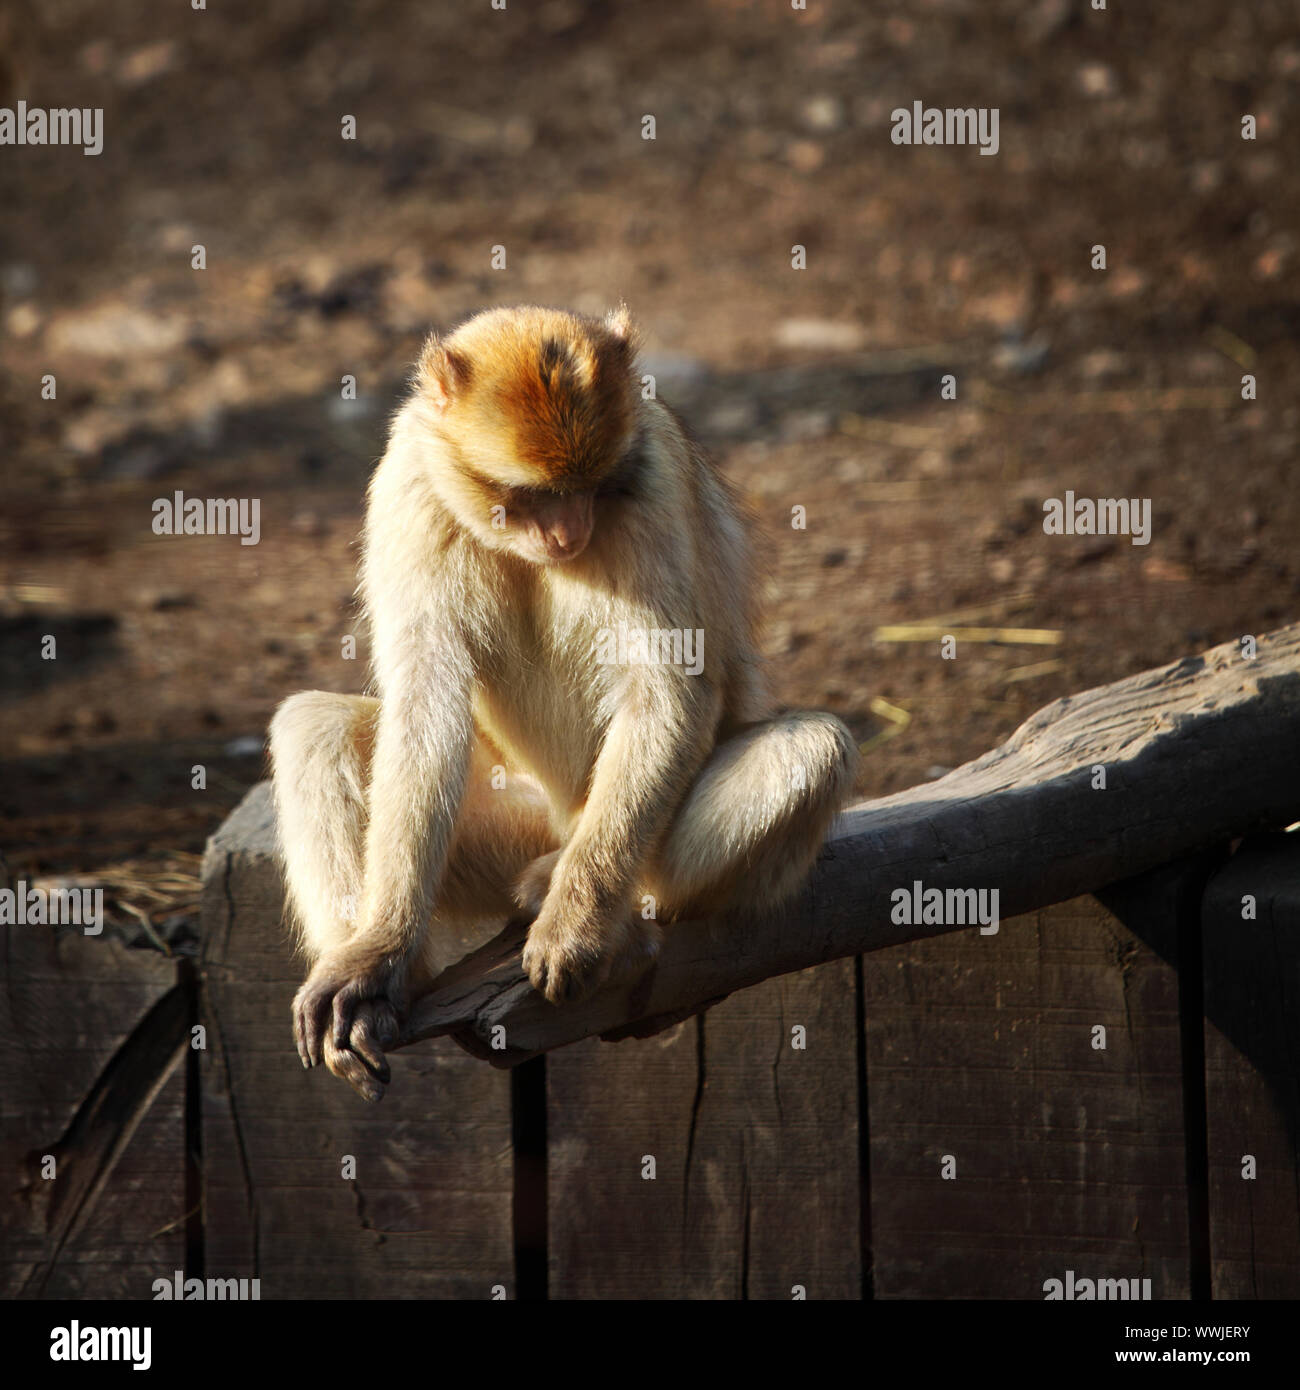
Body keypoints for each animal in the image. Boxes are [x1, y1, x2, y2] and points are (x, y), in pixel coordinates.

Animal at [269, 304, 858, 1100]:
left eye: (590, 486)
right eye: (533, 497)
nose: (567, 531)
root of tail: (561, 825)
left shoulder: (648, 478)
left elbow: (668, 693)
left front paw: (576, 927)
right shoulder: (409, 482)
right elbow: (426, 698)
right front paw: (374, 956)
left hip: (610, 838)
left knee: (812, 748)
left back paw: (609, 912)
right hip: (505, 831)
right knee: (315, 725)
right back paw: (389, 980)